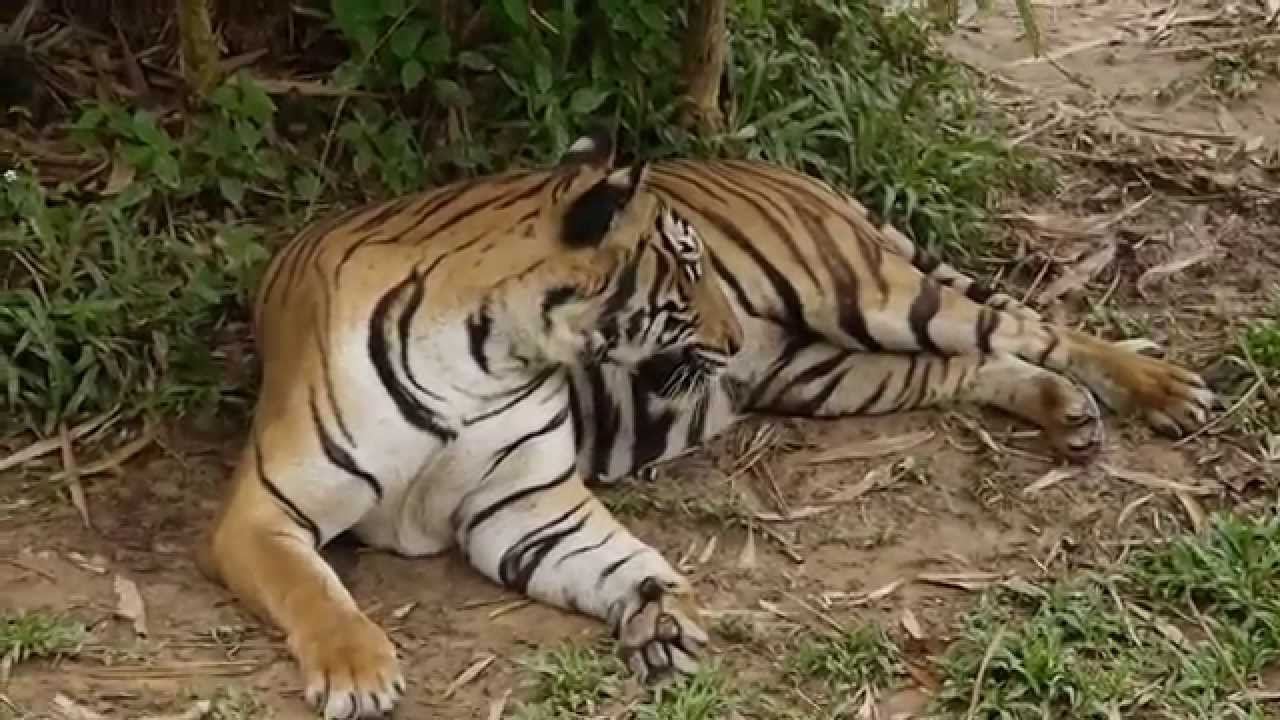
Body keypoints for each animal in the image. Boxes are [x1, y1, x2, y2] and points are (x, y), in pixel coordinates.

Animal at [196, 131, 743, 719]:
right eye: (689, 266)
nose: (738, 342)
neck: (485, 361)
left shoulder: (527, 505)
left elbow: (621, 559)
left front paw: (665, 617)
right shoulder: (265, 511)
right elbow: (311, 588)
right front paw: (357, 674)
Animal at [570, 157, 1216, 487]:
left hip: (860, 293)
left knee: (1034, 332)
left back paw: (1167, 392)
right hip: (817, 372)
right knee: (966, 364)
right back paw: (1068, 411)